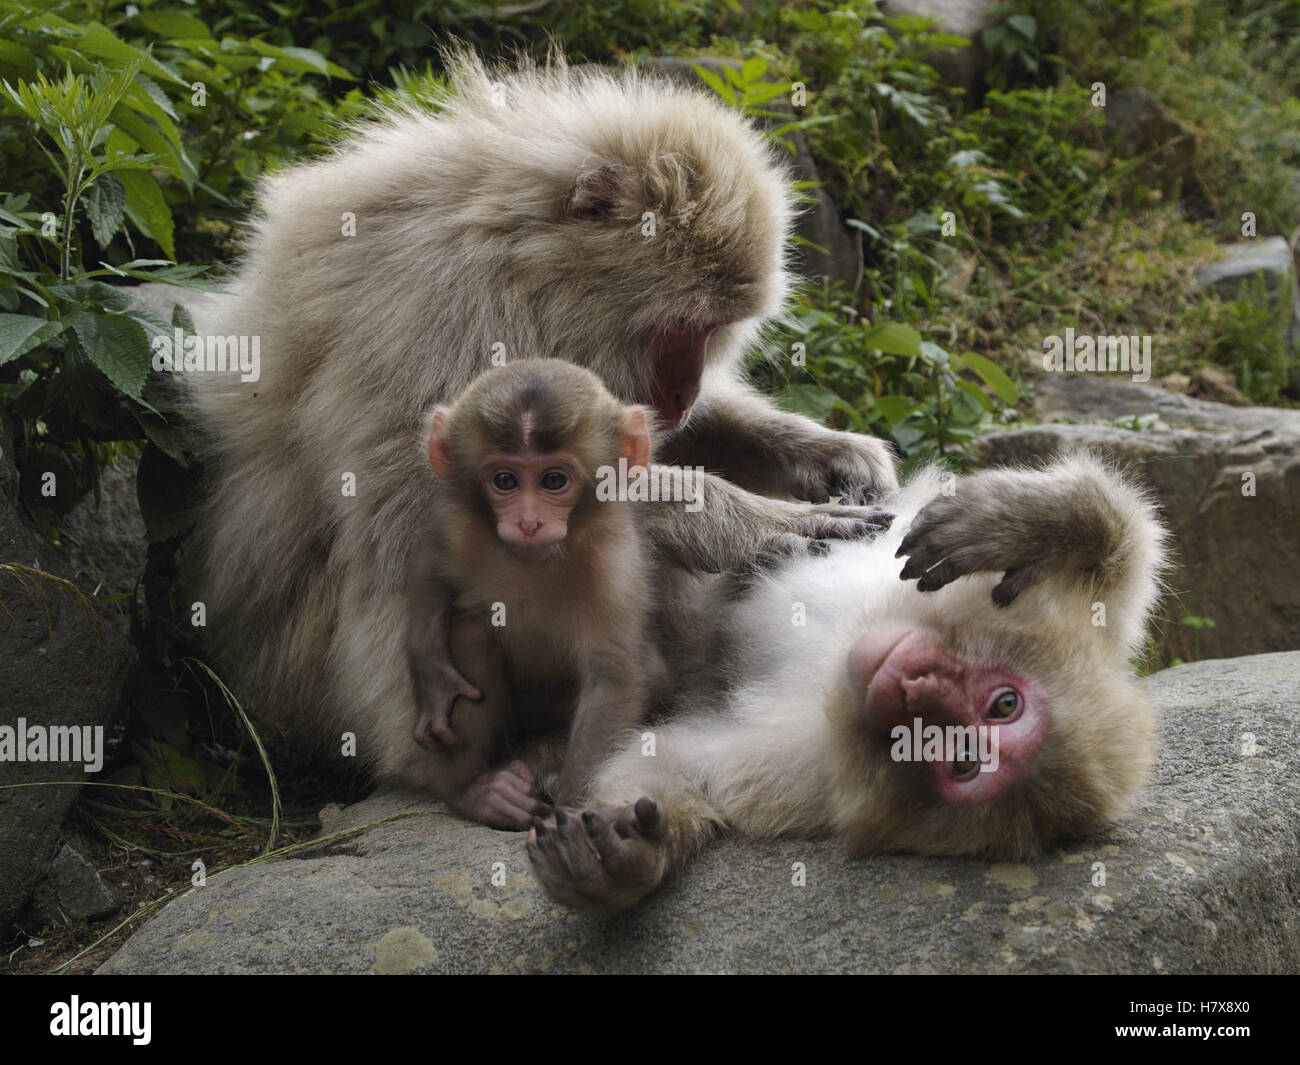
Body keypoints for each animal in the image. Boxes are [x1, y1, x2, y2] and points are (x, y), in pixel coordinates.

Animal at [184, 51, 898, 793]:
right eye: (683, 326)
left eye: (713, 332)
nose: (686, 388)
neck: (523, 265)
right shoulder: (444, 310)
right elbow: (422, 497)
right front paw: (750, 524)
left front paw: (829, 454)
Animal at [526, 451, 1169, 912]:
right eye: (1006, 703)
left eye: (958, 760)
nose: (915, 688)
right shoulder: (1084, 615)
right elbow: (1120, 536)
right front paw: (1021, 520)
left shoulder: (807, 768)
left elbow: (673, 761)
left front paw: (629, 856)